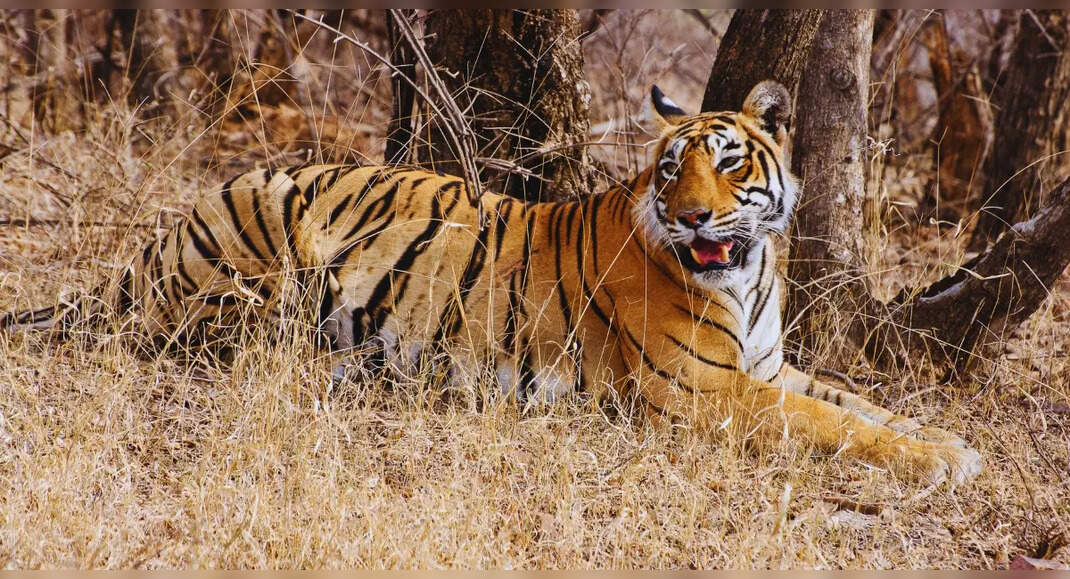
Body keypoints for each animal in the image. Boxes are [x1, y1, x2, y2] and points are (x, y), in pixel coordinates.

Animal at [2, 80, 981, 484]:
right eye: (672, 171)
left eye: (730, 163)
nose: (696, 218)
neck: (749, 272)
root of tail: (160, 237)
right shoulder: (703, 389)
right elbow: (833, 426)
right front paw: (939, 462)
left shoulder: (768, 366)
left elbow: (863, 406)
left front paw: (949, 442)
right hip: (258, 244)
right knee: (206, 339)